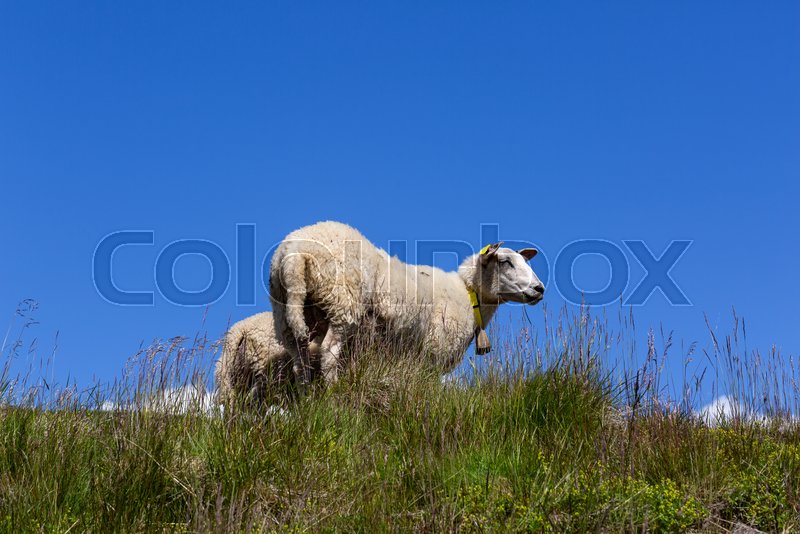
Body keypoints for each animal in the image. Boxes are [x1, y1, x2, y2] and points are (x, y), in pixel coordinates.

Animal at [269, 221, 544, 387]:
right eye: (505, 262)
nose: (539, 289)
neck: (468, 295)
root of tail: (293, 254)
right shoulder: (434, 354)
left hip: (285, 312)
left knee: (299, 362)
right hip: (342, 303)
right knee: (328, 354)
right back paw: (332, 393)